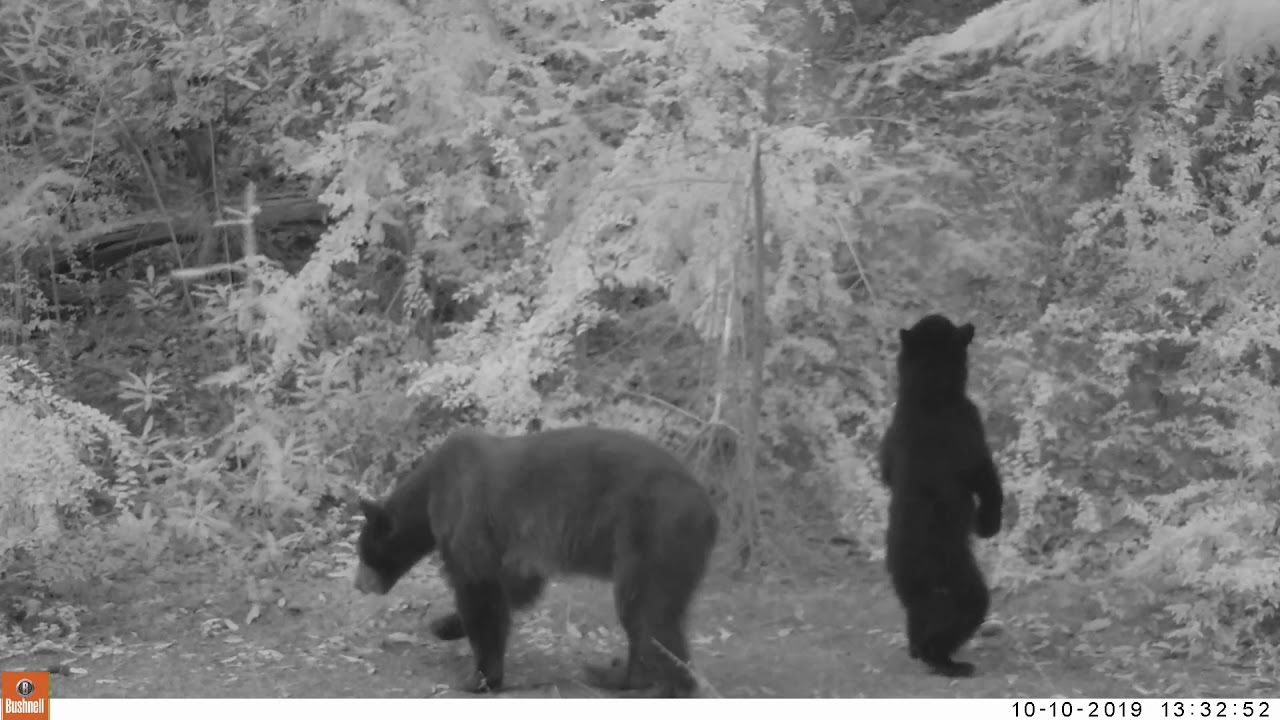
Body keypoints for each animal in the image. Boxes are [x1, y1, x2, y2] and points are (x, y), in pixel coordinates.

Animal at [353, 425, 719, 697]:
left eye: (362, 552)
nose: (357, 584)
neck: (430, 491)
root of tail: (709, 510)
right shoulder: (515, 549)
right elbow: (515, 586)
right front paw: (444, 625)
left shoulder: (467, 515)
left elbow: (478, 587)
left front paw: (481, 677)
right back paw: (619, 675)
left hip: (656, 534)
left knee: (647, 612)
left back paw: (653, 683)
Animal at [879, 314, 1004, 678]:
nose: (970, 324)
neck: (926, 394)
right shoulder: (968, 427)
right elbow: (987, 480)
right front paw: (988, 525)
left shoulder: (890, 438)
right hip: (959, 583)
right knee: (956, 618)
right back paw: (949, 663)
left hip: (915, 596)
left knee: (918, 620)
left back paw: (916, 651)